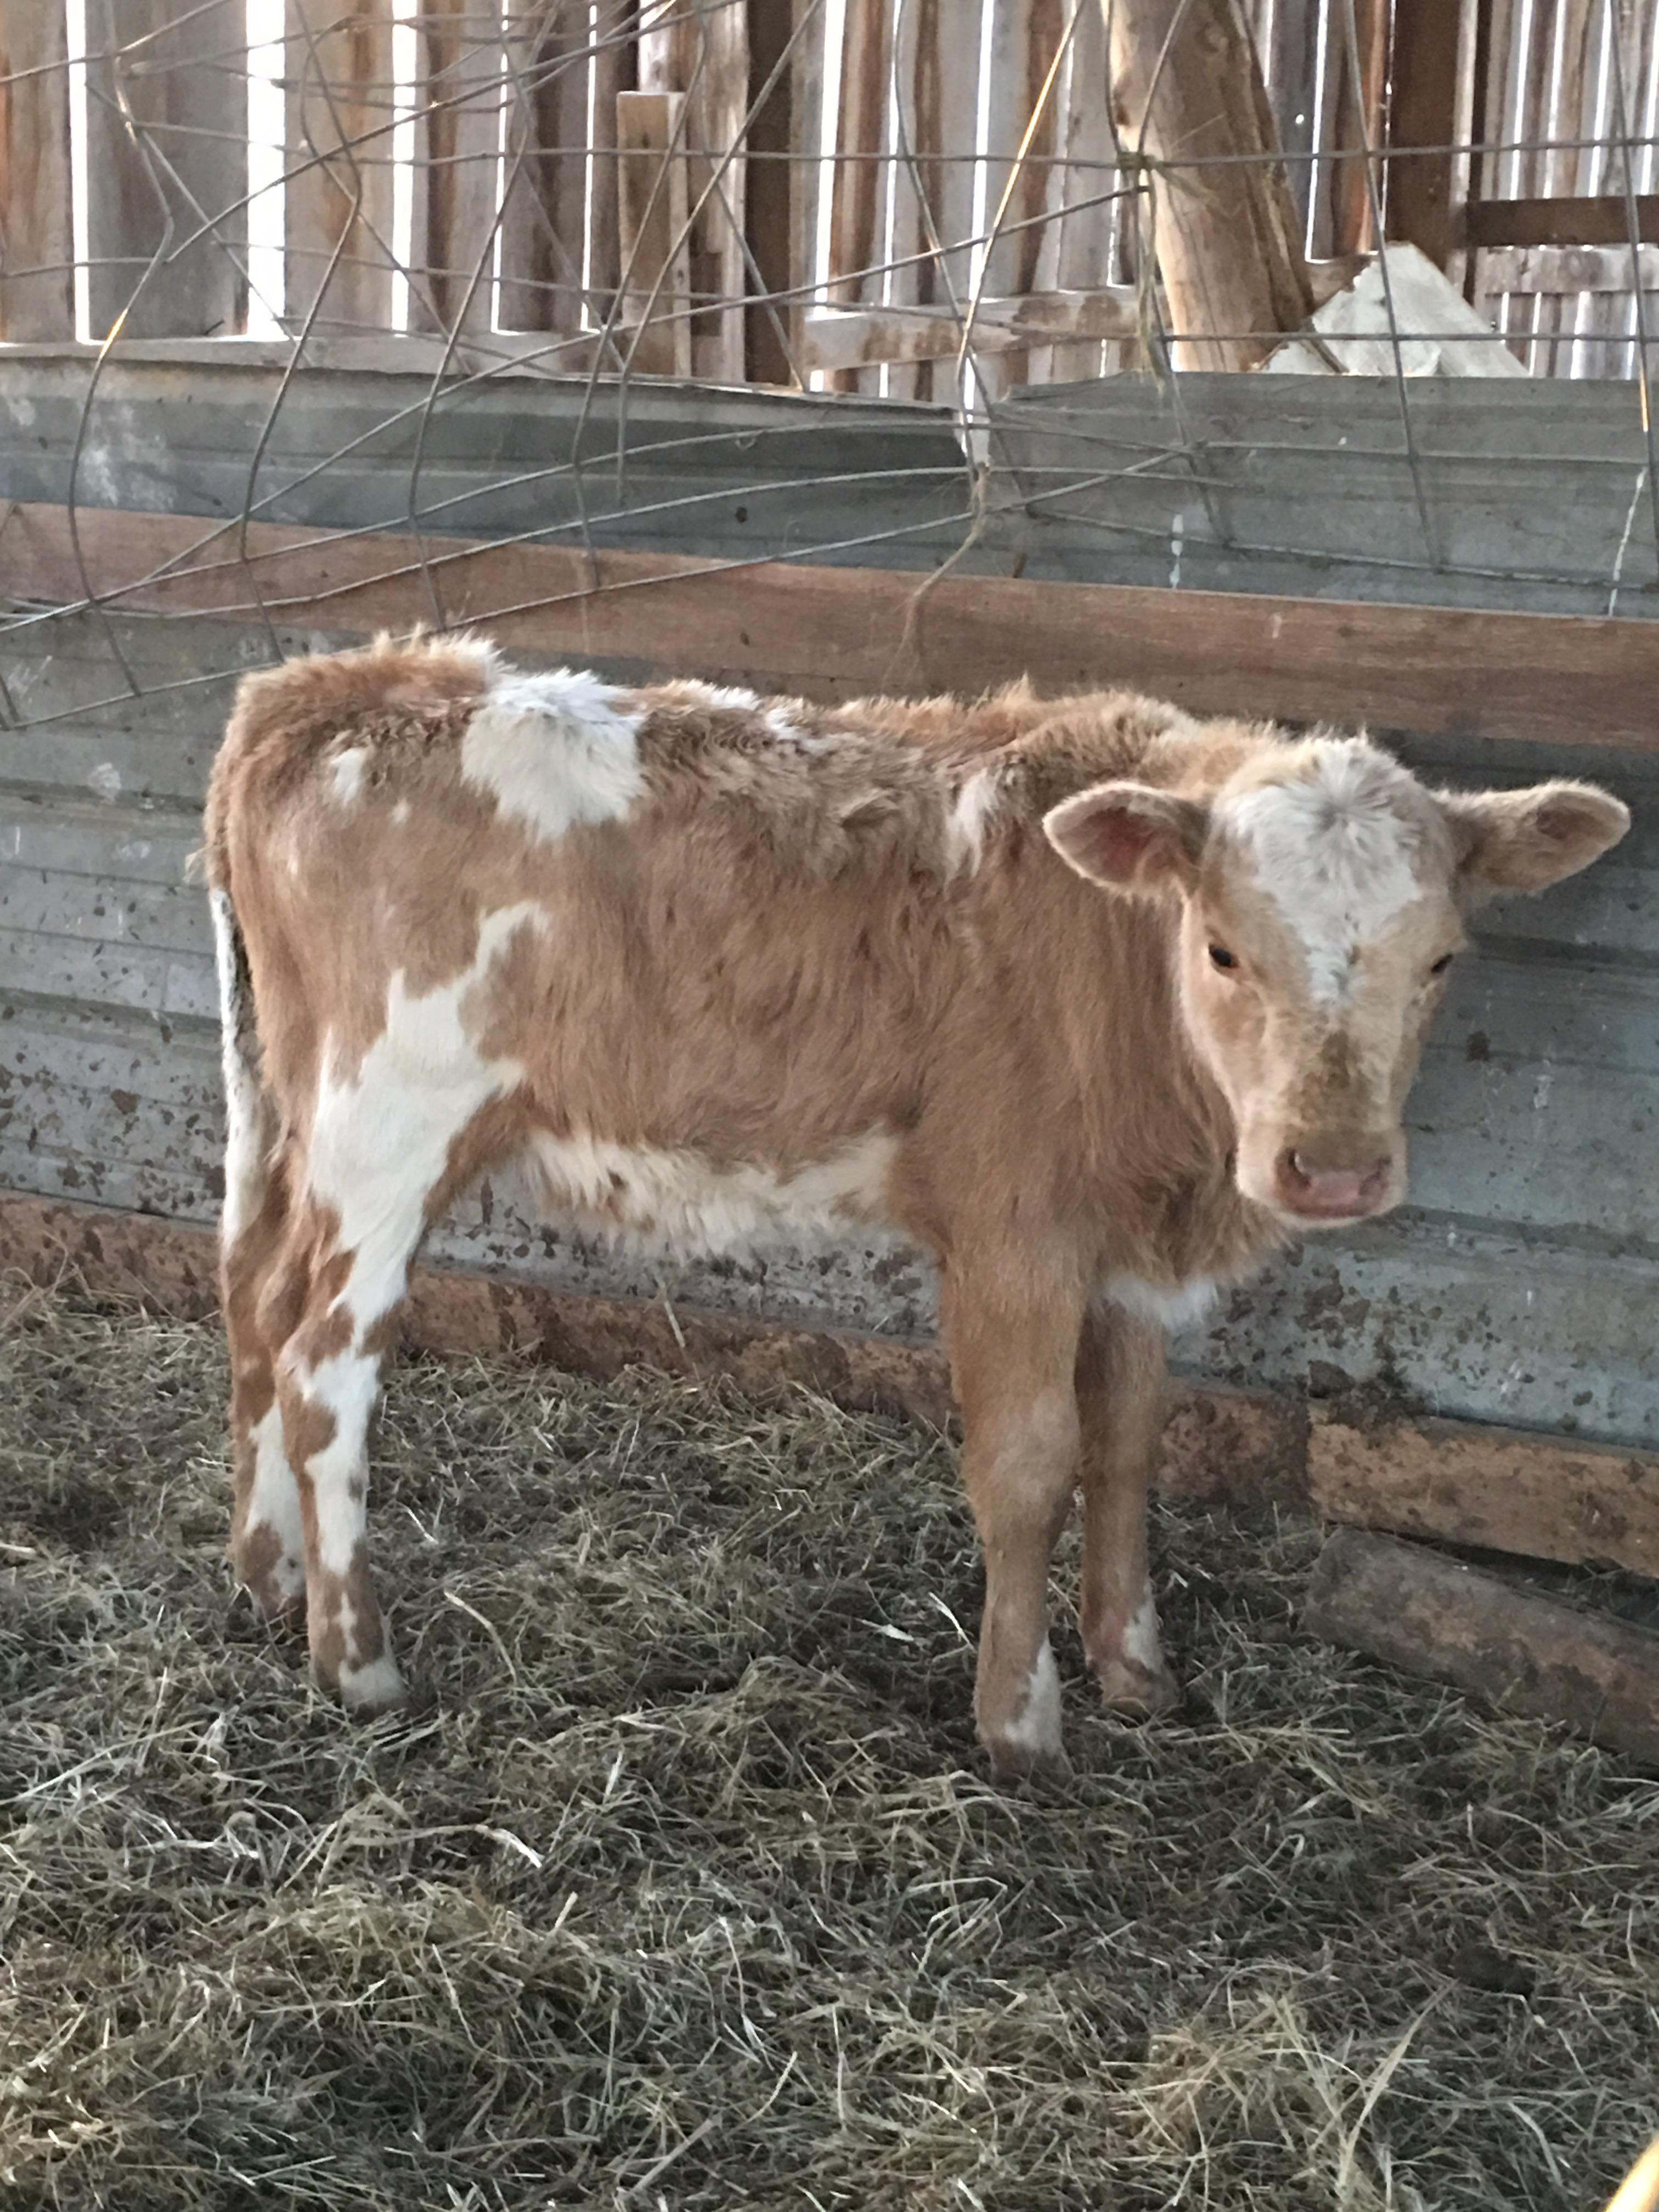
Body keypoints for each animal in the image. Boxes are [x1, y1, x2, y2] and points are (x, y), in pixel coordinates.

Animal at [203, 633, 1628, 1778]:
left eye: (1441, 959)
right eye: (1225, 950)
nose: (1330, 1168)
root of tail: (338, 682)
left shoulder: (1120, 1248)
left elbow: (1129, 1441)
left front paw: (1138, 1669)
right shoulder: (1012, 1234)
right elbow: (1029, 1462)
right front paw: (1022, 1721)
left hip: (283, 1117)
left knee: (252, 1309)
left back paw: (266, 1580)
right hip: (391, 1129)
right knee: (324, 1368)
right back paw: (358, 1661)